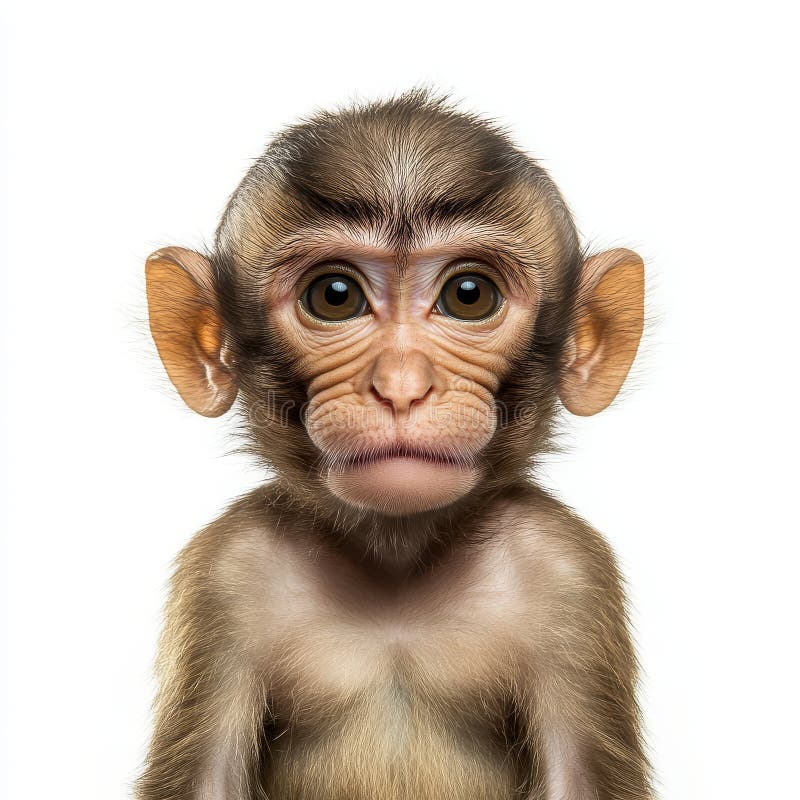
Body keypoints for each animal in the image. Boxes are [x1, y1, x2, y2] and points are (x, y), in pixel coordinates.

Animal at [138, 91, 651, 800]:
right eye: (334, 295)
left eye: (470, 294)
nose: (402, 388)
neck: (397, 561)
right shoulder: (226, 572)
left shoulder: (566, 568)